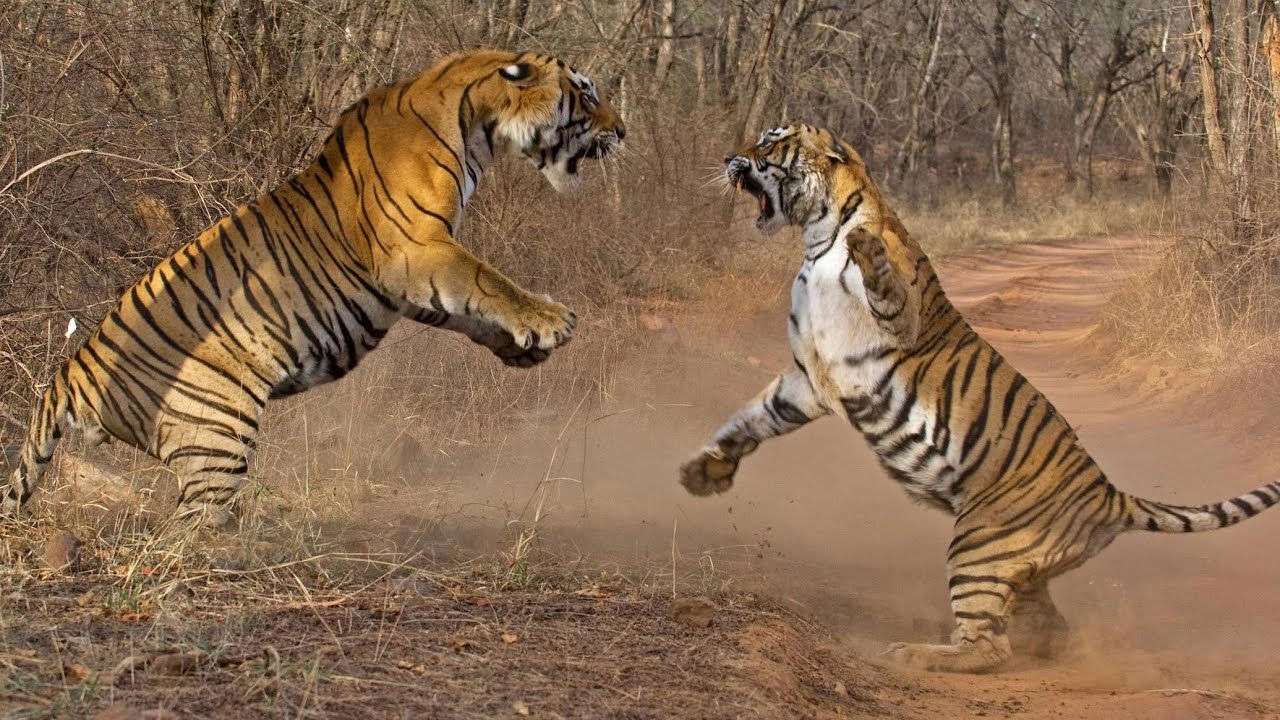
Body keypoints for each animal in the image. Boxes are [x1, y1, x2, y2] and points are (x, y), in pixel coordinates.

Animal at [3, 49, 625, 528]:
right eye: (585, 92)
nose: (622, 130)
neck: (475, 120)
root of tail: (68, 374)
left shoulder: (414, 278)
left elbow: (467, 309)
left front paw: (521, 350)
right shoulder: (416, 251)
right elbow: (485, 281)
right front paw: (550, 320)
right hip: (216, 432)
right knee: (183, 534)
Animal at [679, 124, 1280, 673]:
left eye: (770, 141)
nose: (729, 157)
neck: (816, 239)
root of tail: (1111, 496)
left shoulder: (896, 323)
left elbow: (882, 279)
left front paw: (866, 246)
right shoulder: (809, 377)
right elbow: (751, 419)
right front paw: (703, 473)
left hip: (977, 543)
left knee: (989, 648)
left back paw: (915, 653)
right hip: (1018, 566)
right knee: (1041, 631)